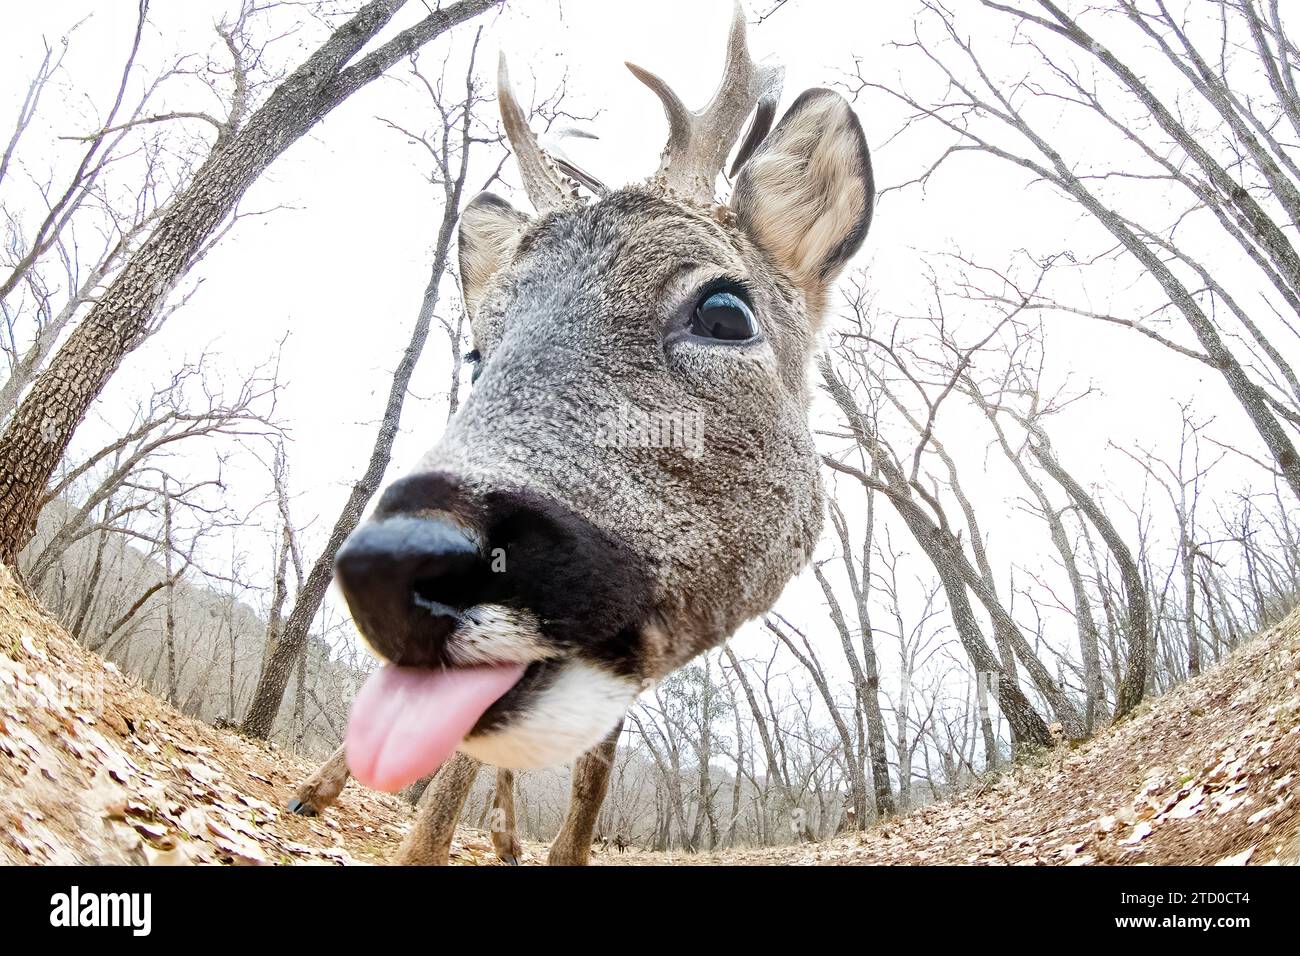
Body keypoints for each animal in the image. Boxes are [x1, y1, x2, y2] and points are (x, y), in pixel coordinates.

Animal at [284, 1, 874, 865]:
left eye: (725, 310)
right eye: (477, 351)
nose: (395, 562)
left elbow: (593, 778)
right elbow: (454, 778)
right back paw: (320, 793)